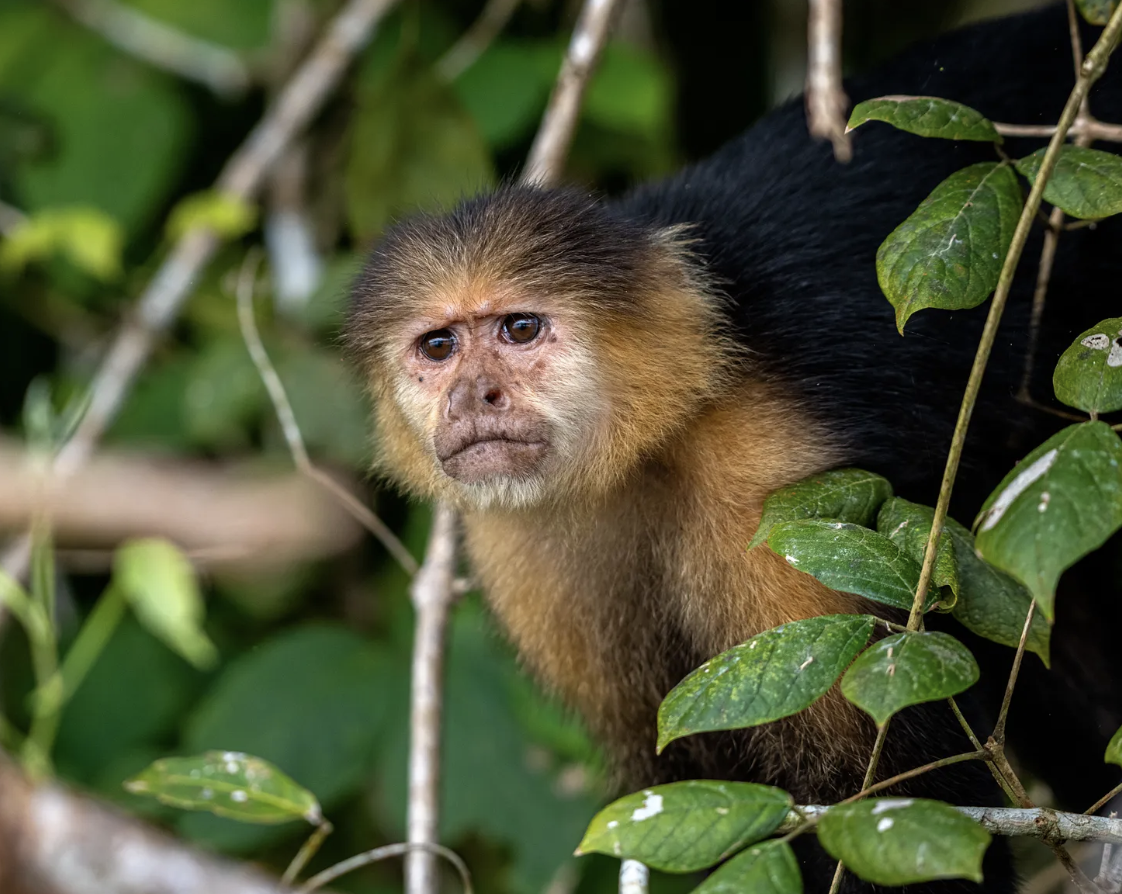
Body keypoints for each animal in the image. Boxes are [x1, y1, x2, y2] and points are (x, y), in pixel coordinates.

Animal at [346, 5, 1122, 892]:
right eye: (438, 347)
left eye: (519, 329)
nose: (475, 397)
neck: (641, 456)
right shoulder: (521, 558)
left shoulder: (762, 486)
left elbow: (897, 802)